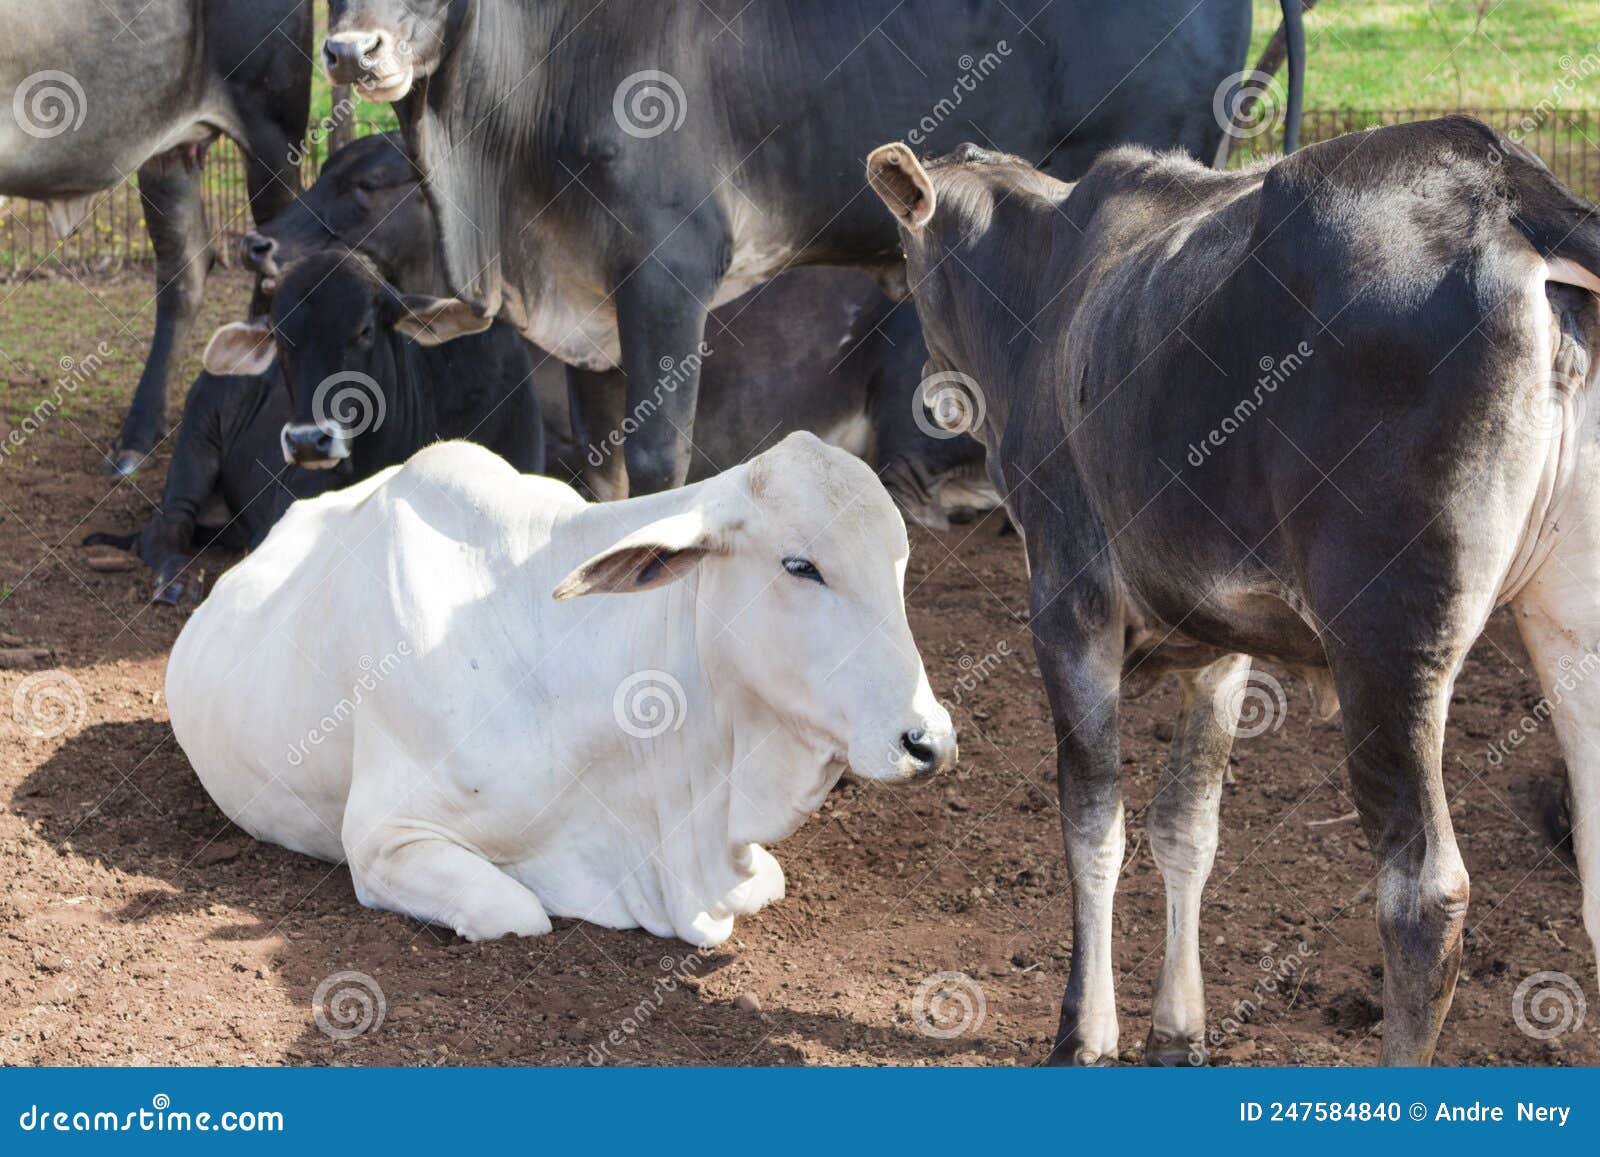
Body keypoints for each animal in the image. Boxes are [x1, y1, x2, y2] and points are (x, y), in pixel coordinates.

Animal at [166, 432, 957, 945]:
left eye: (900, 560)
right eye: (800, 565)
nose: (928, 740)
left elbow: (768, 878)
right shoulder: (381, 838)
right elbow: (520, 912)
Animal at [866, 117, 1600, 1066]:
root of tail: (1505, 183)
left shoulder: (1067, 599)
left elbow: (1091, 819)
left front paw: (1085, 1030)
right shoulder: (1219, 637)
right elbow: (1188, 826)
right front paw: (1177, 1029)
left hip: (1388, 633)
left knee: (1423, 892)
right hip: (1569, 620)